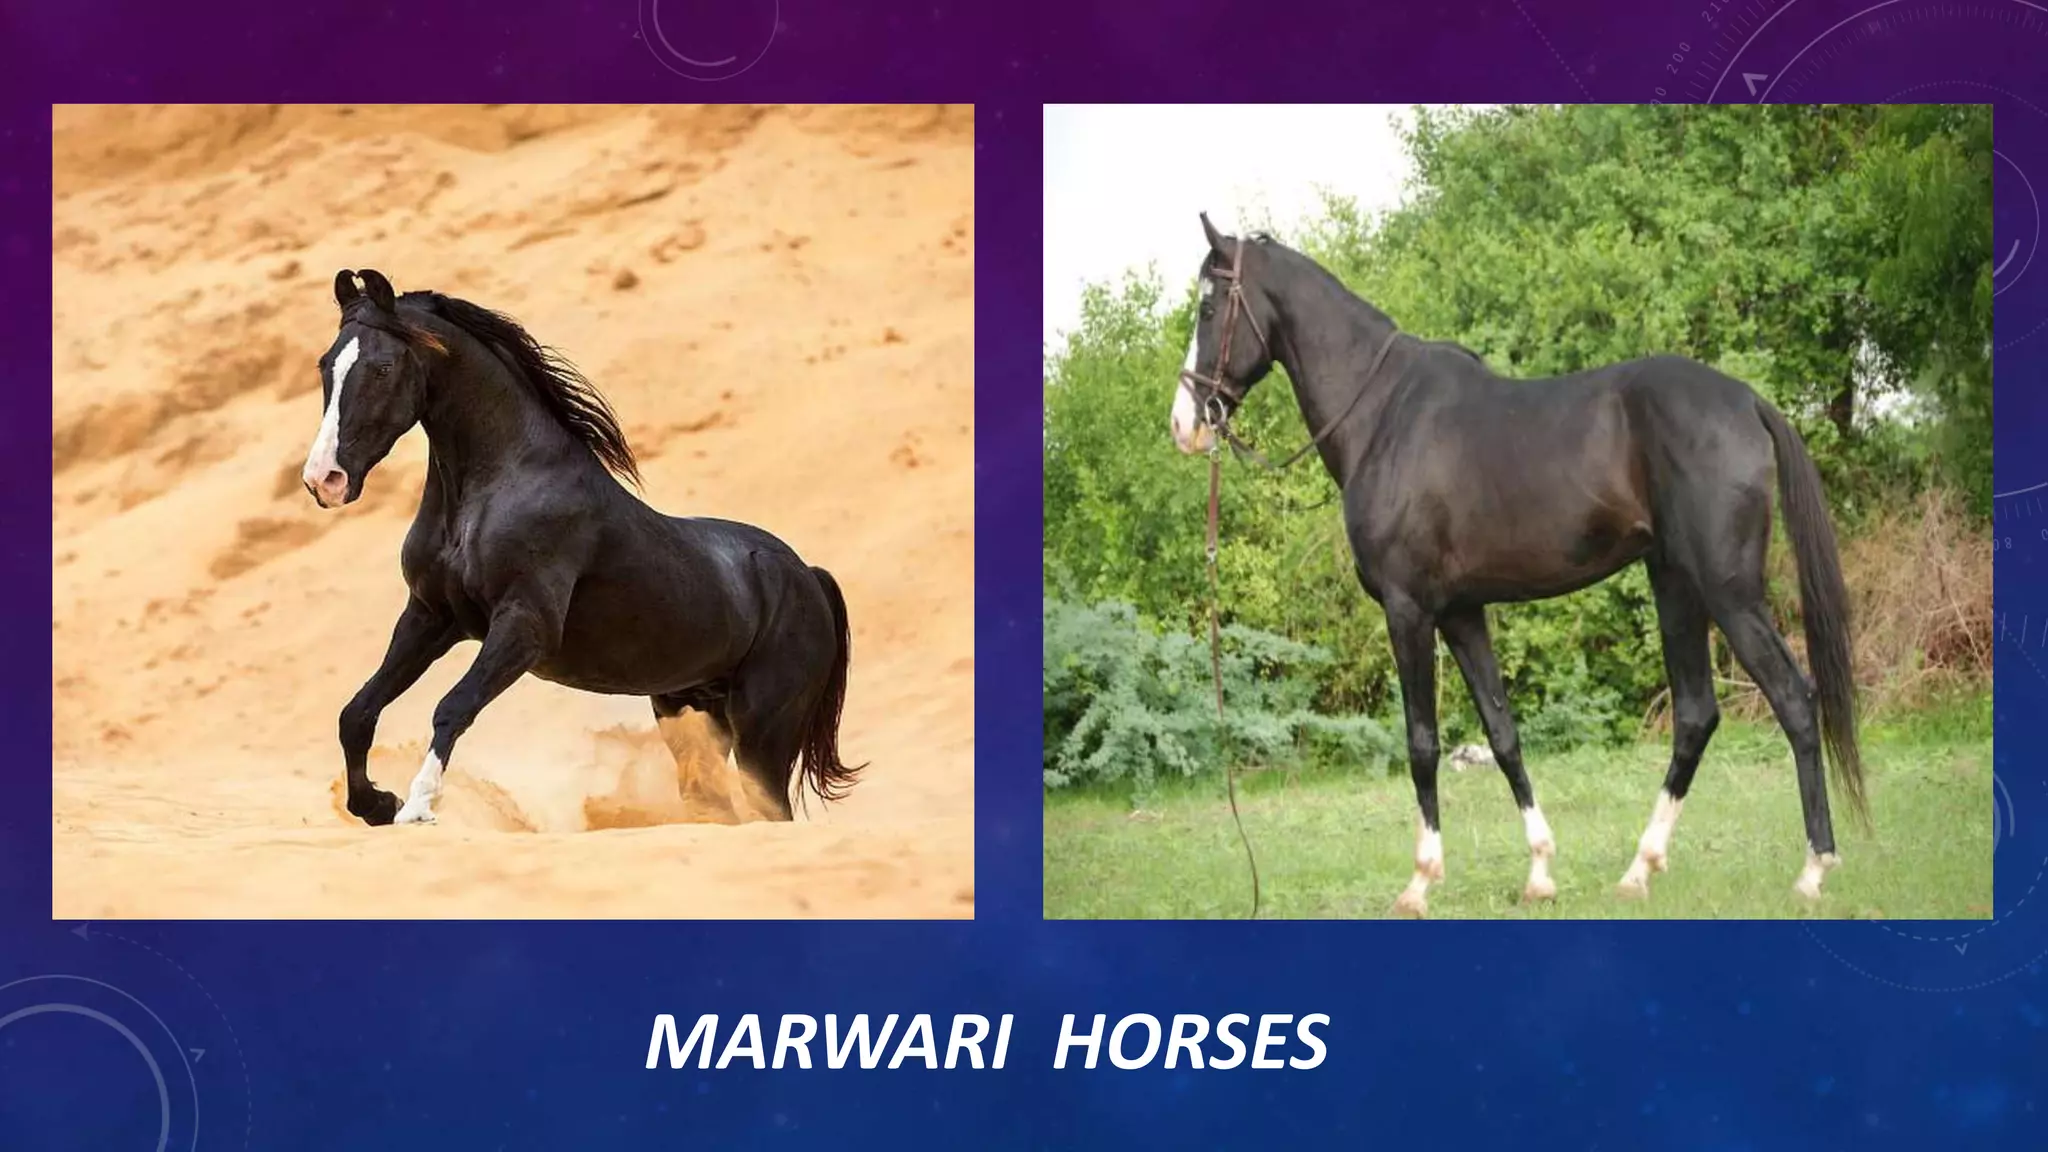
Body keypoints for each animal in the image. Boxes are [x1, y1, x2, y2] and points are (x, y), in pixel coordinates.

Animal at [302, 269, 860, 827]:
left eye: (383, 367)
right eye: (326, 364)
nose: (324, 480)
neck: (498, 486)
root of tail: (808, 575)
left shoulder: (524, 626)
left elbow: (453, 706)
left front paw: (417, 806)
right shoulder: (430, 617)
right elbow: (357, 712)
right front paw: (376, 803)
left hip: (763, 729)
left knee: (771, 810)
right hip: (690, 714)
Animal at [1170, 214, 1865, 917]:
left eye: (1208, 307)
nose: (1185, 424)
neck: (1384, 415)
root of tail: (1747, 401)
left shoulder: (1408, 611)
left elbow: (1421, 743)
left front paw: (1420, 881)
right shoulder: (1462, 614)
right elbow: (1503, 734)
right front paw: (1540, 871)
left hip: (1729, 594)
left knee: (1794, 701)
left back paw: (1814, 870)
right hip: (1675, 585)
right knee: (1696, 715)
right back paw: (1639, 869)